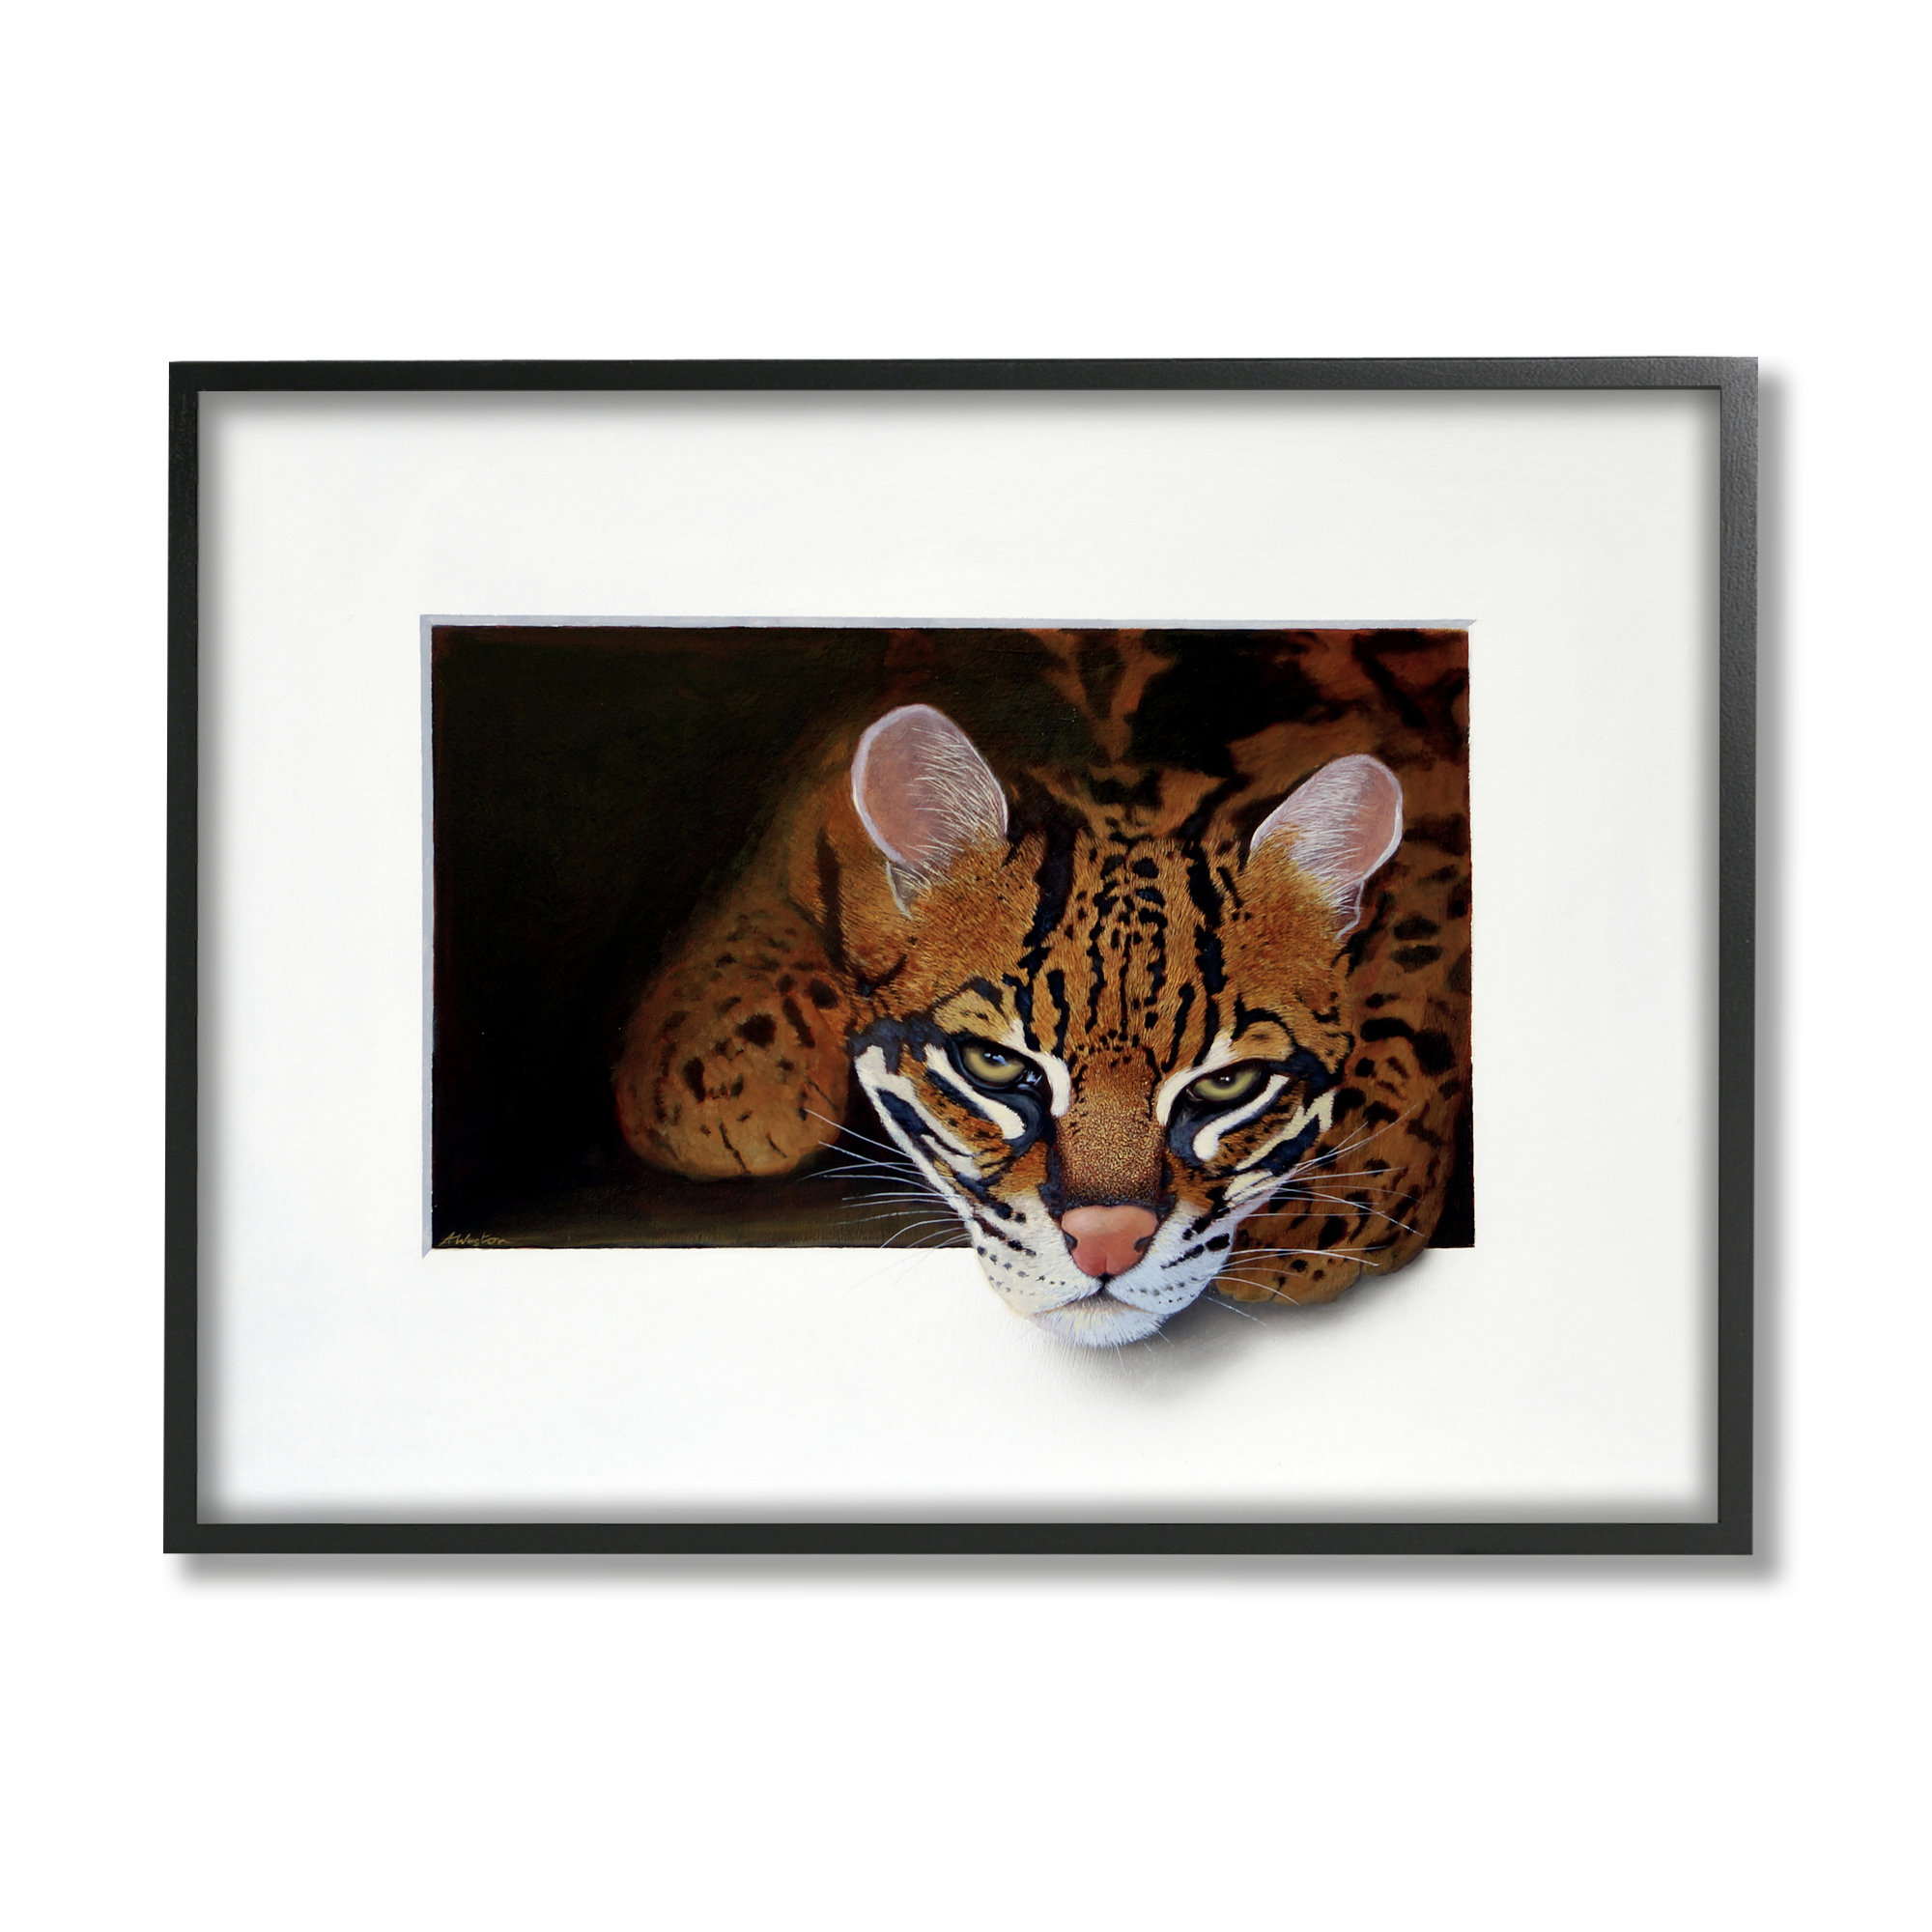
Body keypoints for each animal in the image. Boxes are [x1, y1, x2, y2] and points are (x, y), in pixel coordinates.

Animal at [615, 627, 1470, 1347]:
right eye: (993, 1066)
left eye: (1227, 1084)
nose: (1107, 1245)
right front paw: (720, 1062)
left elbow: (1423, 972)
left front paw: (1327, 1200)